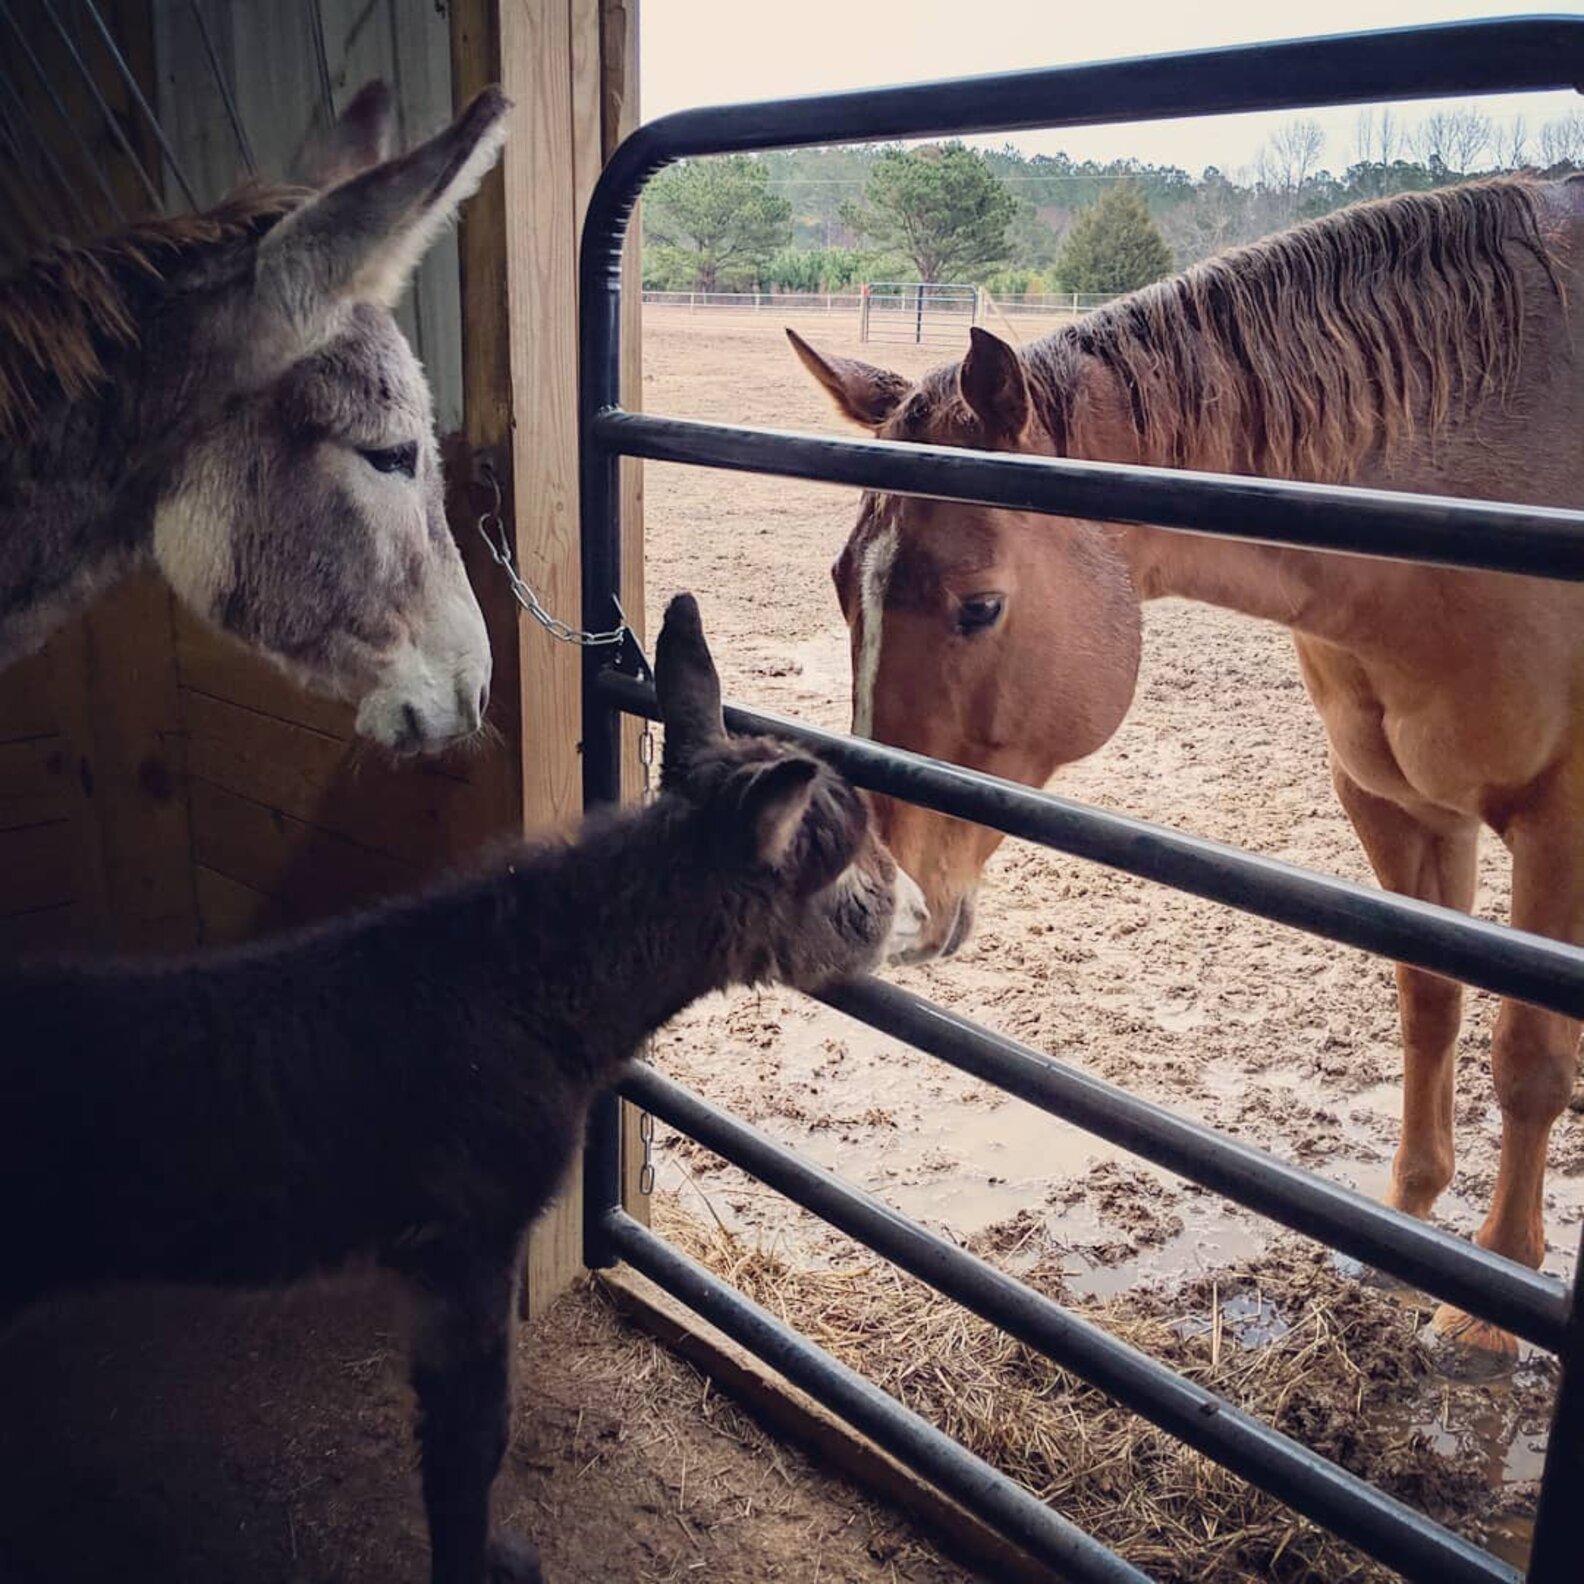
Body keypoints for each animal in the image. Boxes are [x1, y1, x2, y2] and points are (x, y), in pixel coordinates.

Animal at [788, 174, 1584, 1372]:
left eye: (980, 606)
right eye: (843, 586)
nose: (866, 894)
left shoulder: (1561, 825)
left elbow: (1530, 1057)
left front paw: (1488, 1308)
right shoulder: (1393, 806)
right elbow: (1428, 1003)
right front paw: (1403, 1228)